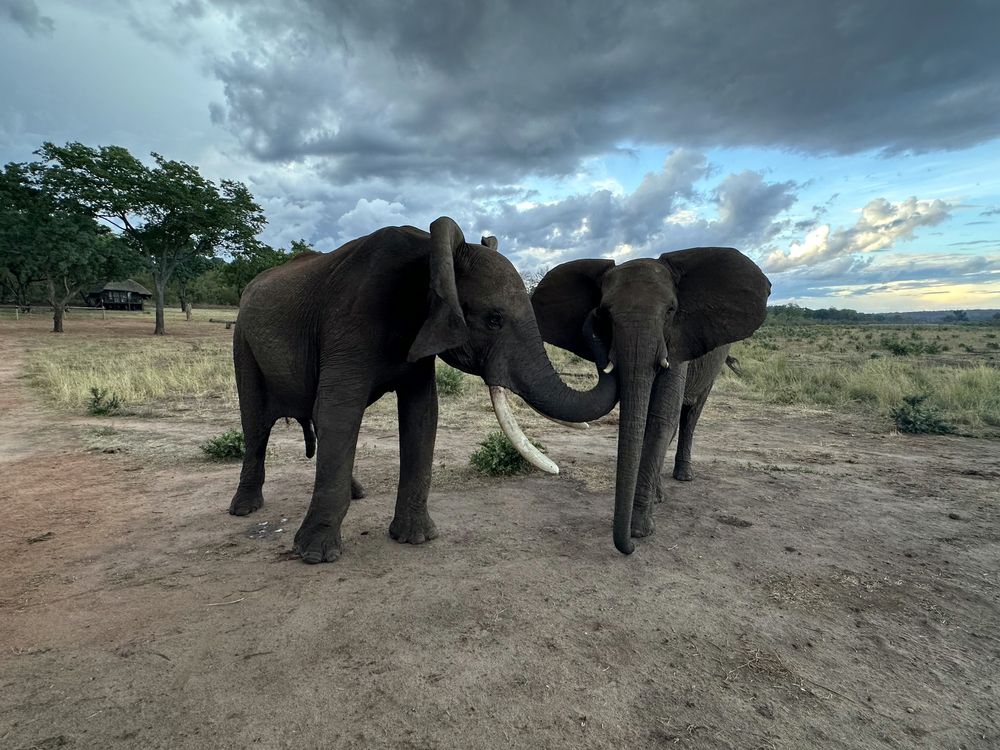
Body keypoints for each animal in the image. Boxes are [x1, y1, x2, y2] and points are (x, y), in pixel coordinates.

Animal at [229, 217, 617, 563]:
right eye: (493, 320)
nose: (599, 316)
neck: (429, 255)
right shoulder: (349, 323)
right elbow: (339, 413)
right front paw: (314, 556)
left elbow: (422, 414)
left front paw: (416, 538)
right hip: (243, 341)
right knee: (256, 423)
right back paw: (244, 509)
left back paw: (357, 493)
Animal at [531, 248, 770, 555]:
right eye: (605, 314)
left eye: (670, 311)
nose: (629, 547)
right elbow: (642, 419)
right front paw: (643, 519)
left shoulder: (678, 341)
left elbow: (659, 419)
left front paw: (639, 531)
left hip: (713, 365)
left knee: (690, 415)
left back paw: (683, 476)